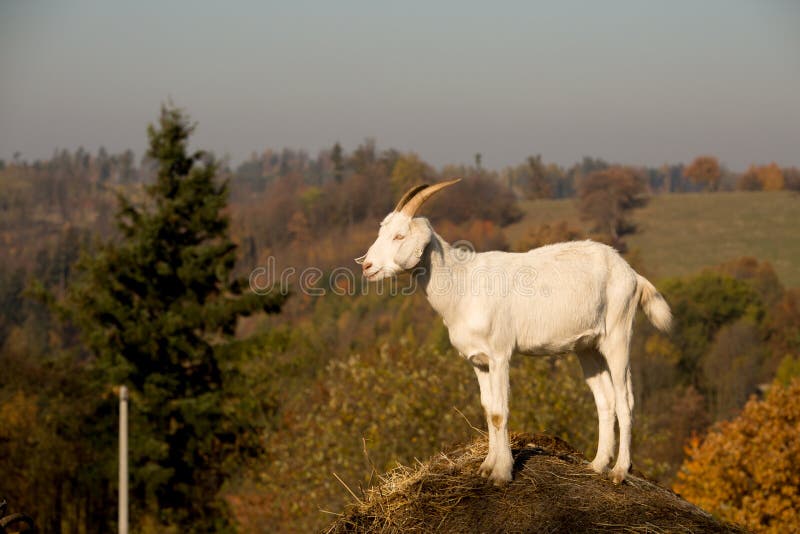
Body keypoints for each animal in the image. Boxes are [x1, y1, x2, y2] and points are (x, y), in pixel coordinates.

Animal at [356, 179, 672, 485]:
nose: (367, 266)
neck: (463, 283)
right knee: (605, 399)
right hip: (588, 346)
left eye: (399, 236)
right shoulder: (479, 361)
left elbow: (500, 412)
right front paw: (487, 466)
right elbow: (488, 409)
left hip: (618, 334)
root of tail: (631, 274)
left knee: (624, 399)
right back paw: (597, 465)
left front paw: (502, 473)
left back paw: (619, 472)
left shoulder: (500, 354)